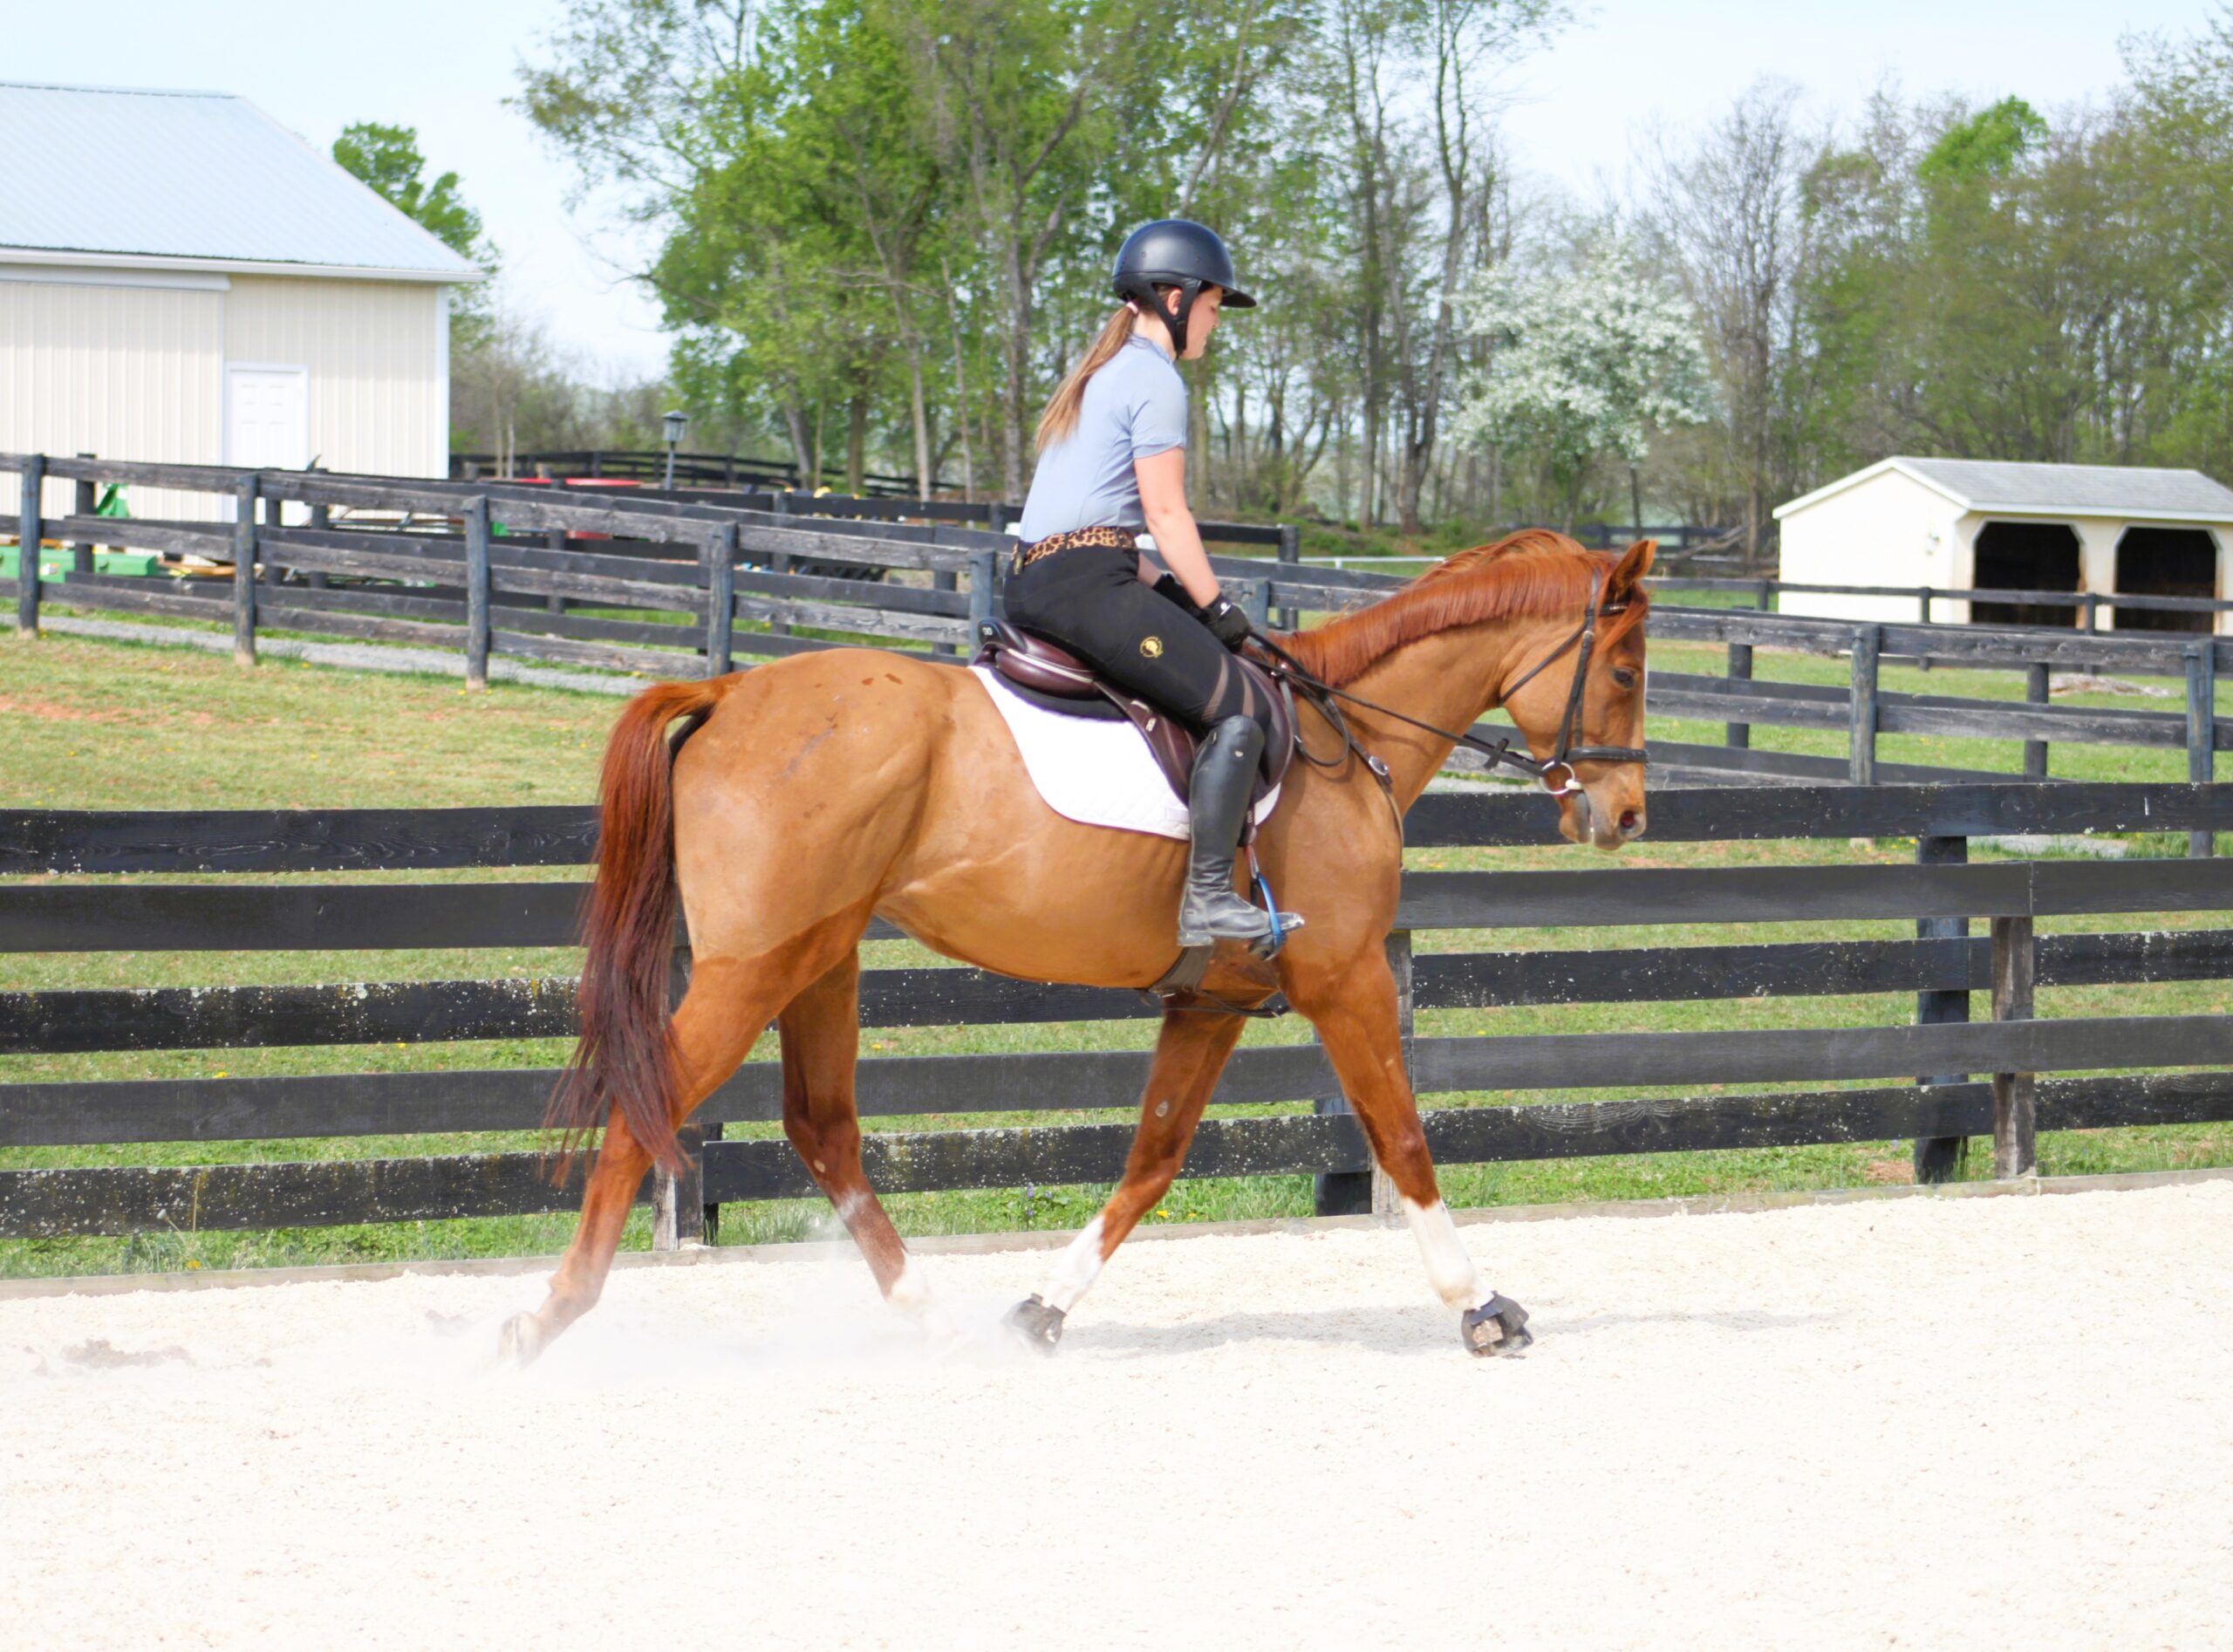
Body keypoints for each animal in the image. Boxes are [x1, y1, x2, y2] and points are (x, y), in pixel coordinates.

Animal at [499, 529, 1653, 1364]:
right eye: (1628, 670)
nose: (1627, 816)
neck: (1345, 739)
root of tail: (731, 687)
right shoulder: (1347, 978)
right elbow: (1403, 1140)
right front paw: (1482, 1305)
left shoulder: (1212, 1003)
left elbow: (1150, 1161)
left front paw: (1042, 1308)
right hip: (754, 968)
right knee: (644, 1109)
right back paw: (547, 1316)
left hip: (820, 960)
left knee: (823, 1129)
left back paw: (931, 1317)